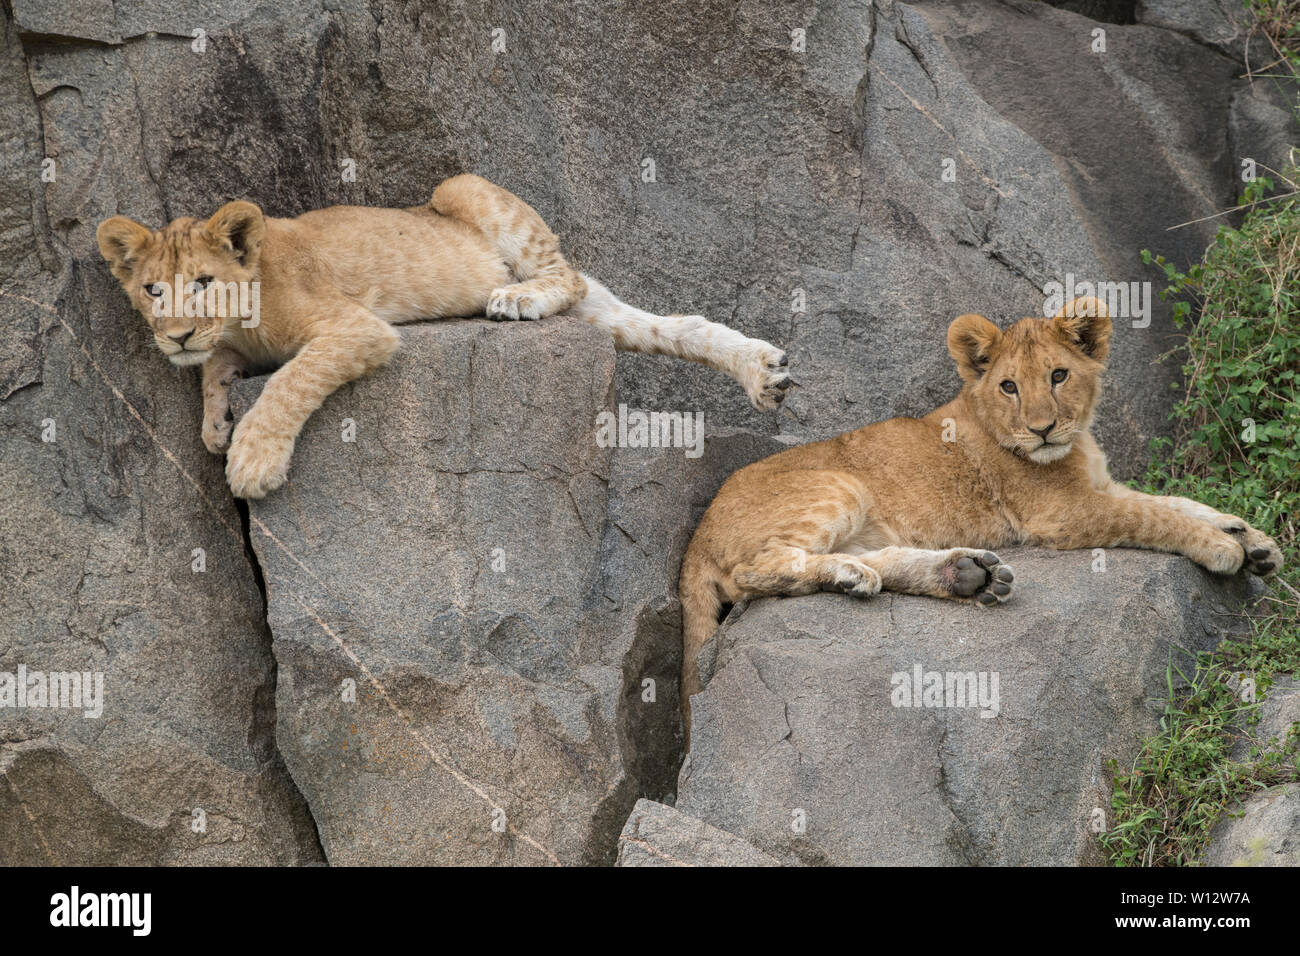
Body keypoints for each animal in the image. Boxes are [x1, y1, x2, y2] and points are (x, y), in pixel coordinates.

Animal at [97, 174, 792, 498]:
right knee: (666, 324)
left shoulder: (359, 328)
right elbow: (216, 368)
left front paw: (251, 459)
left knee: (563, 277)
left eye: (204, 282)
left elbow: (291, 381)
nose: (176, 336)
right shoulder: (228, 347)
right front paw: (214, 422)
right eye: (153, 291)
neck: (246, 312)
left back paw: (515, 298)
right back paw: (765, 372)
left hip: (464, 189)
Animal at [677, 297, 1283, 737]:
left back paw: (962, 574)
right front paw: (1222, 547)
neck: (1074, 445)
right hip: (838, 487)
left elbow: (1172, 502)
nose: (1041, 429)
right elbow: (1153, 517)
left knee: (878, 559)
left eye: (1059, 375)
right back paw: (859, 575)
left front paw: (1253, 539)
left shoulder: (1101, 487)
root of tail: (696, 538)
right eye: (1009, 386)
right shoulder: (1063, 512)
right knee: (756, 570)